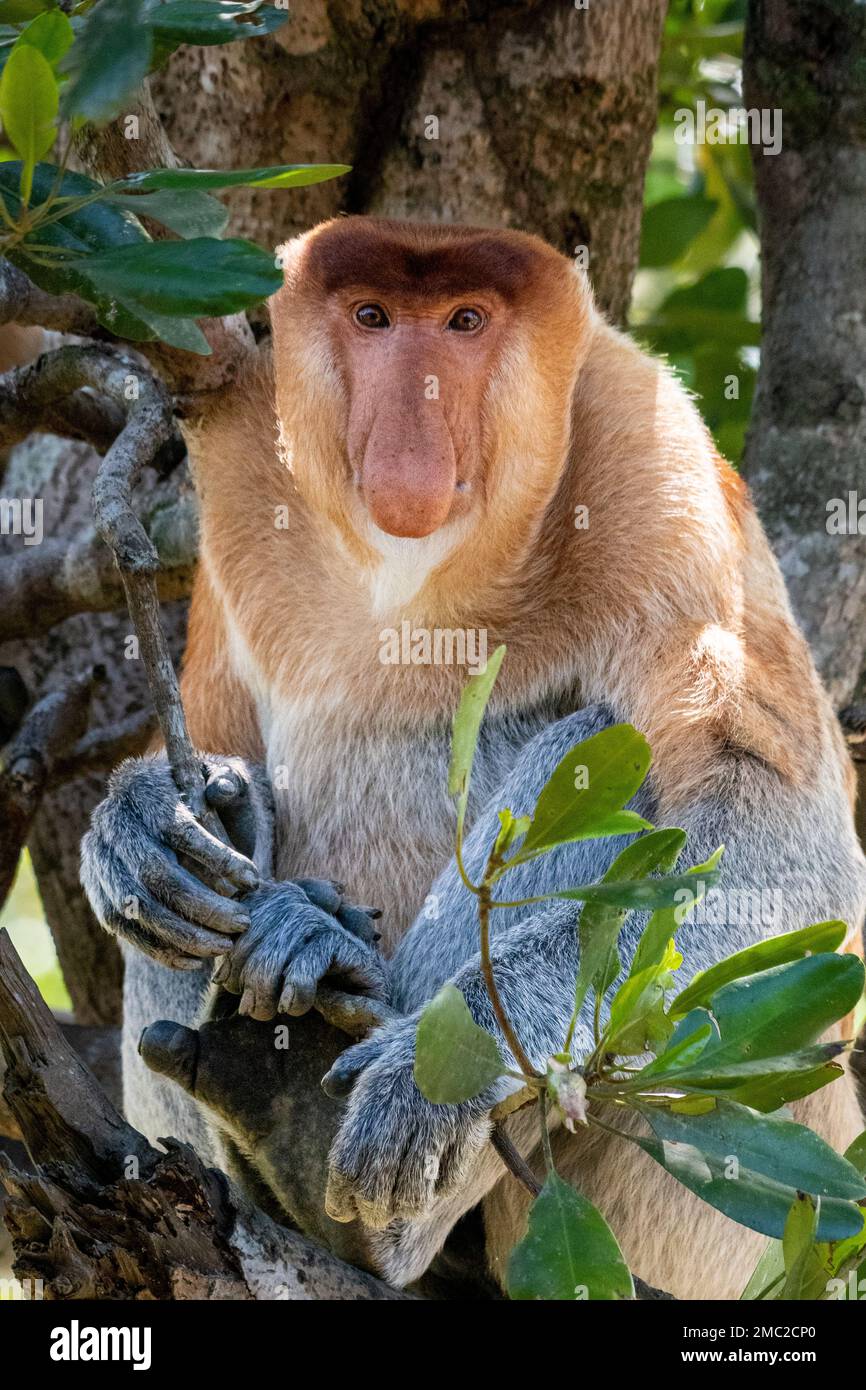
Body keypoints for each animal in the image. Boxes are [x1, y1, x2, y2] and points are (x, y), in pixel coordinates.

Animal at [80, 217, 866, 1299]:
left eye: (464, 322)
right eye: (372, 317)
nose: (411, 437)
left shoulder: (653, 464)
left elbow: (776, 833)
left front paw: (437, 1075)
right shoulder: (237, 471)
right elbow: (207, 734)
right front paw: (143, 826)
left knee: (609, 760)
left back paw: (313, 1115)